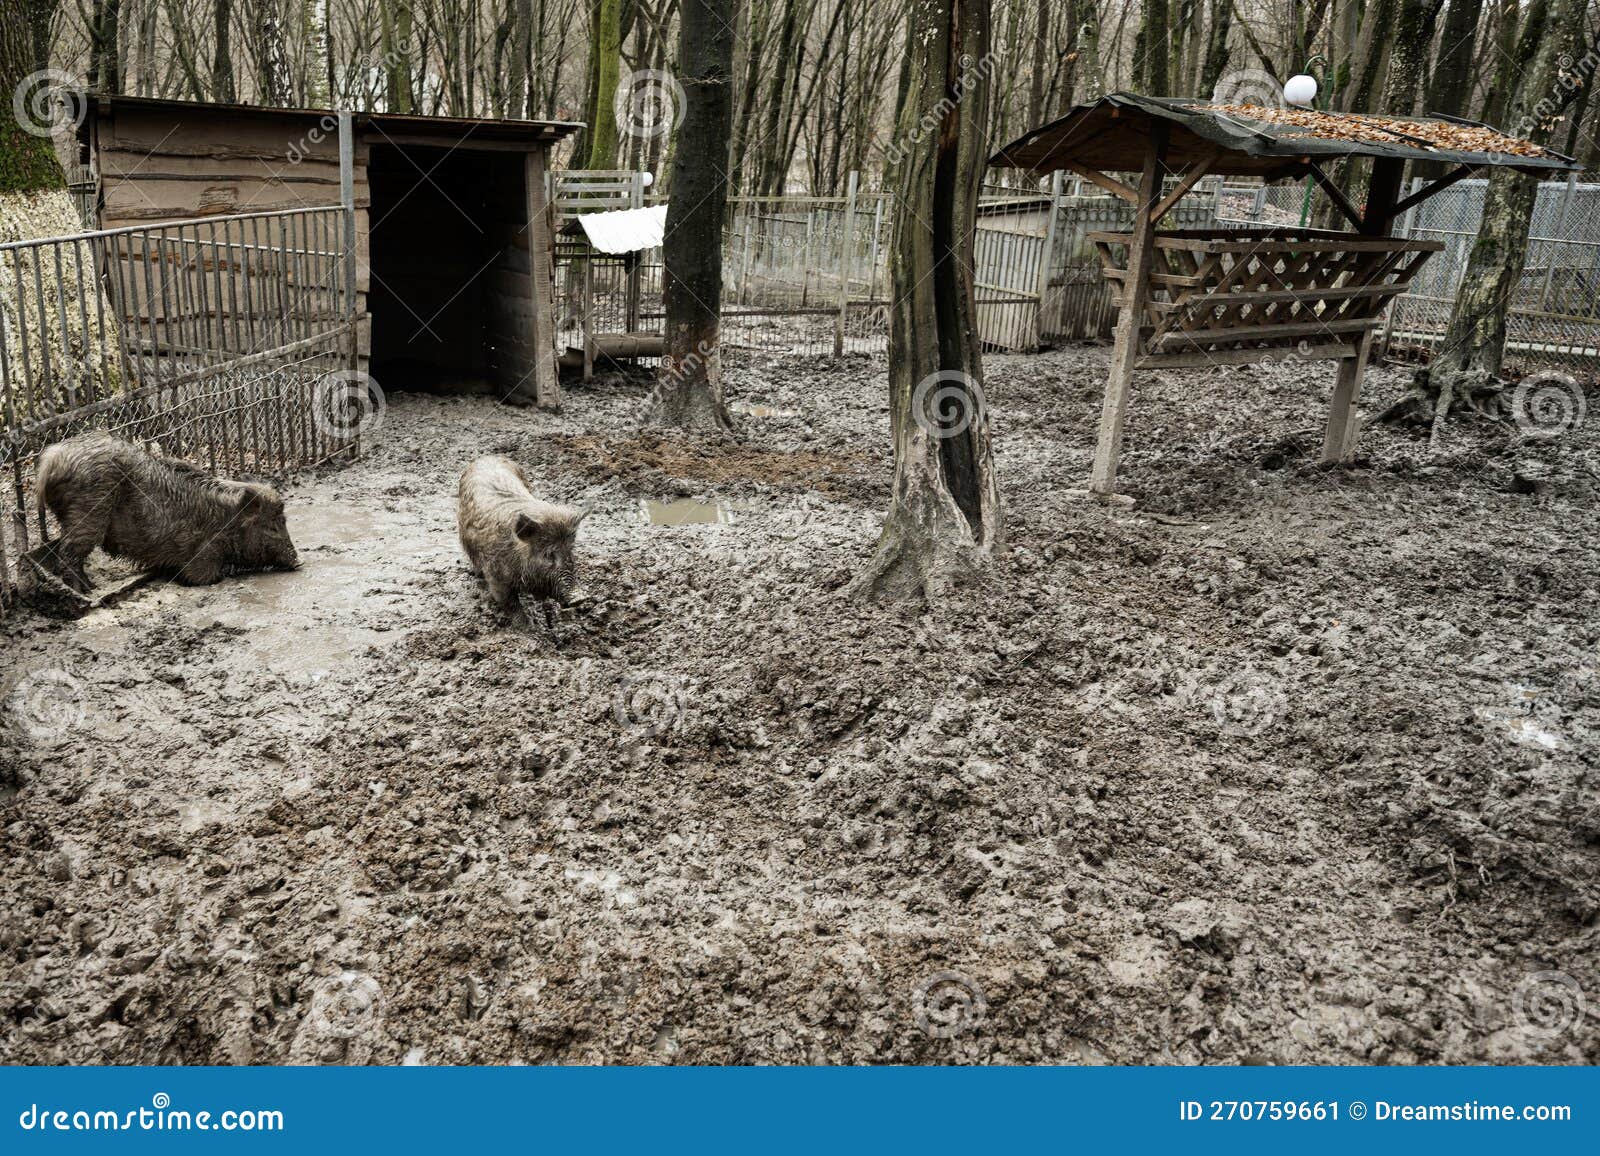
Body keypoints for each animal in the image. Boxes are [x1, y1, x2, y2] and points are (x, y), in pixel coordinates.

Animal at [31, 432, 300, 592]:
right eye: (274, 525)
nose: (298, 560)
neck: (225, 521)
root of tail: (50, 459)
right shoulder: (203, 555)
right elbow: (206, 576)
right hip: (87, 513)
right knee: (69, 553)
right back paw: (88, 590)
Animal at [457, 455, 587, 608]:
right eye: (548, 554)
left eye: (570, 550)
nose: (580, 598)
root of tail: (487, 457)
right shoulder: (496, 577)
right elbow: (511, 604)